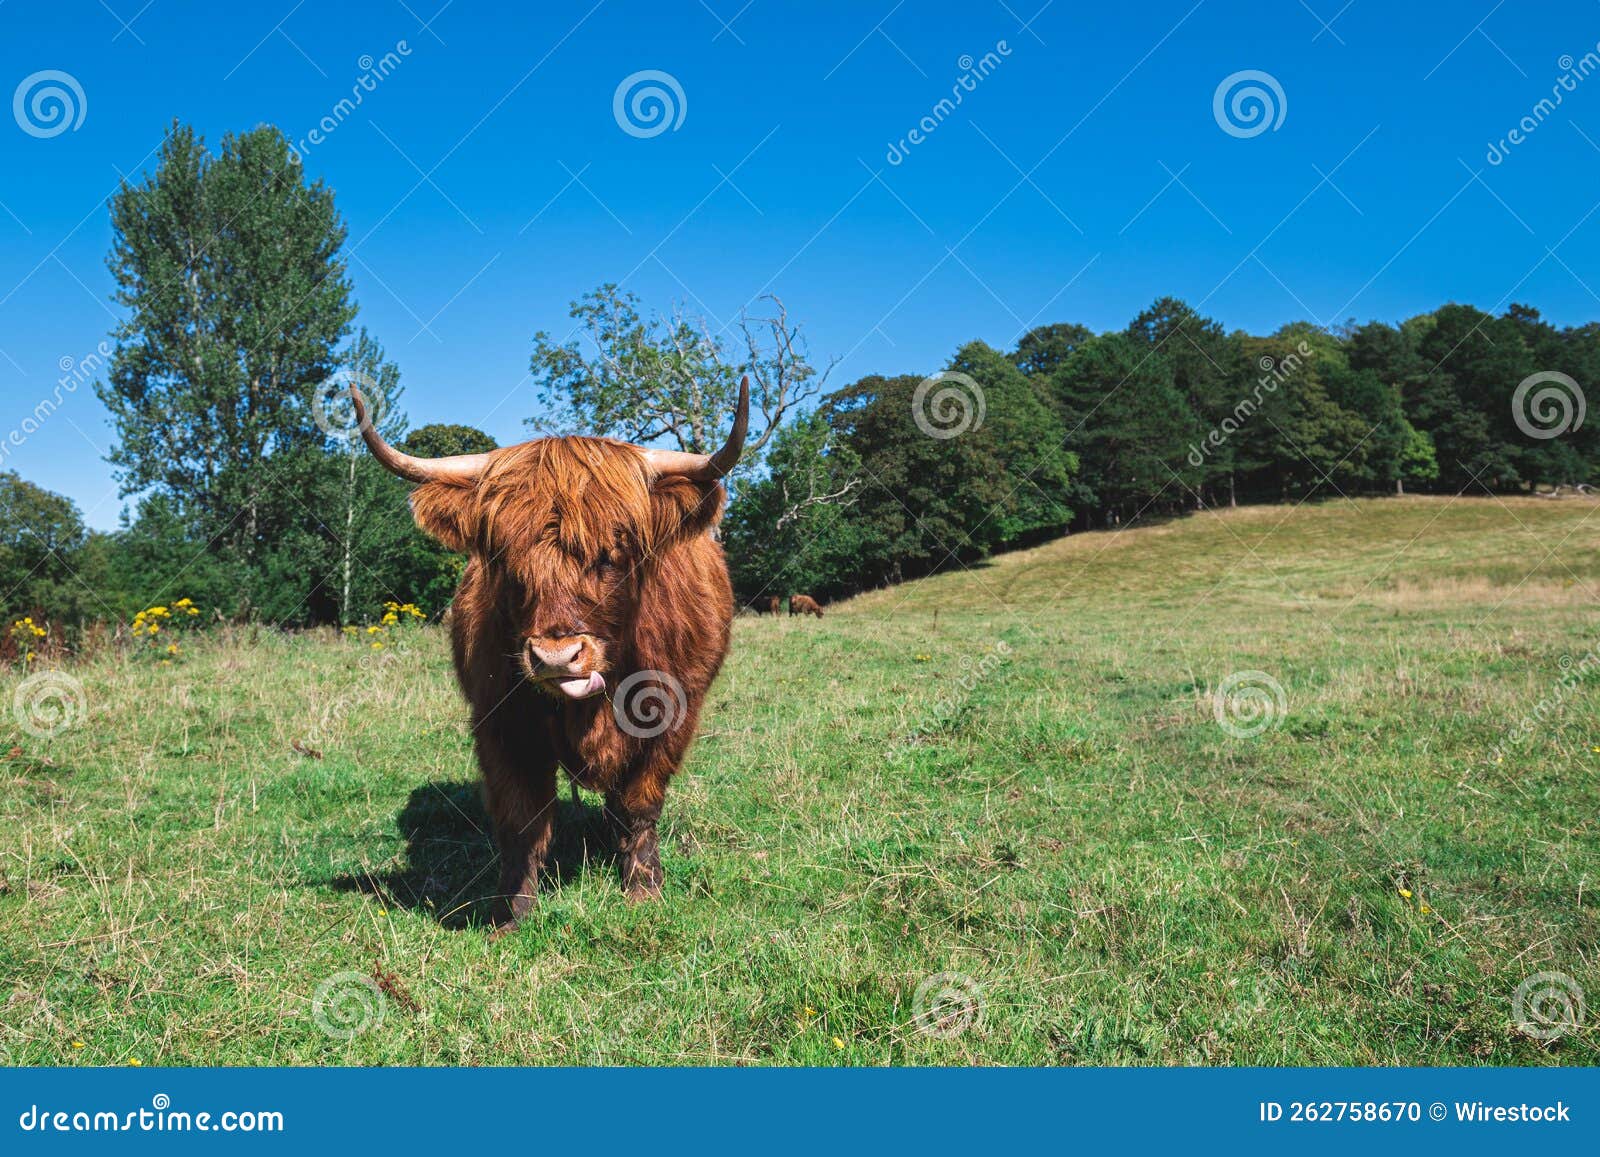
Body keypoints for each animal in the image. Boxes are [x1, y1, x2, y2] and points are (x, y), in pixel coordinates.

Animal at [351, 379, 747, 928]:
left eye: (613, 553)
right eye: (503, 558)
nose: (556, 658)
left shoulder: (673, 716)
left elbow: (640, 800)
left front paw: (643, 888)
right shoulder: (499, 722)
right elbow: (521, 817)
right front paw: (511, 913)